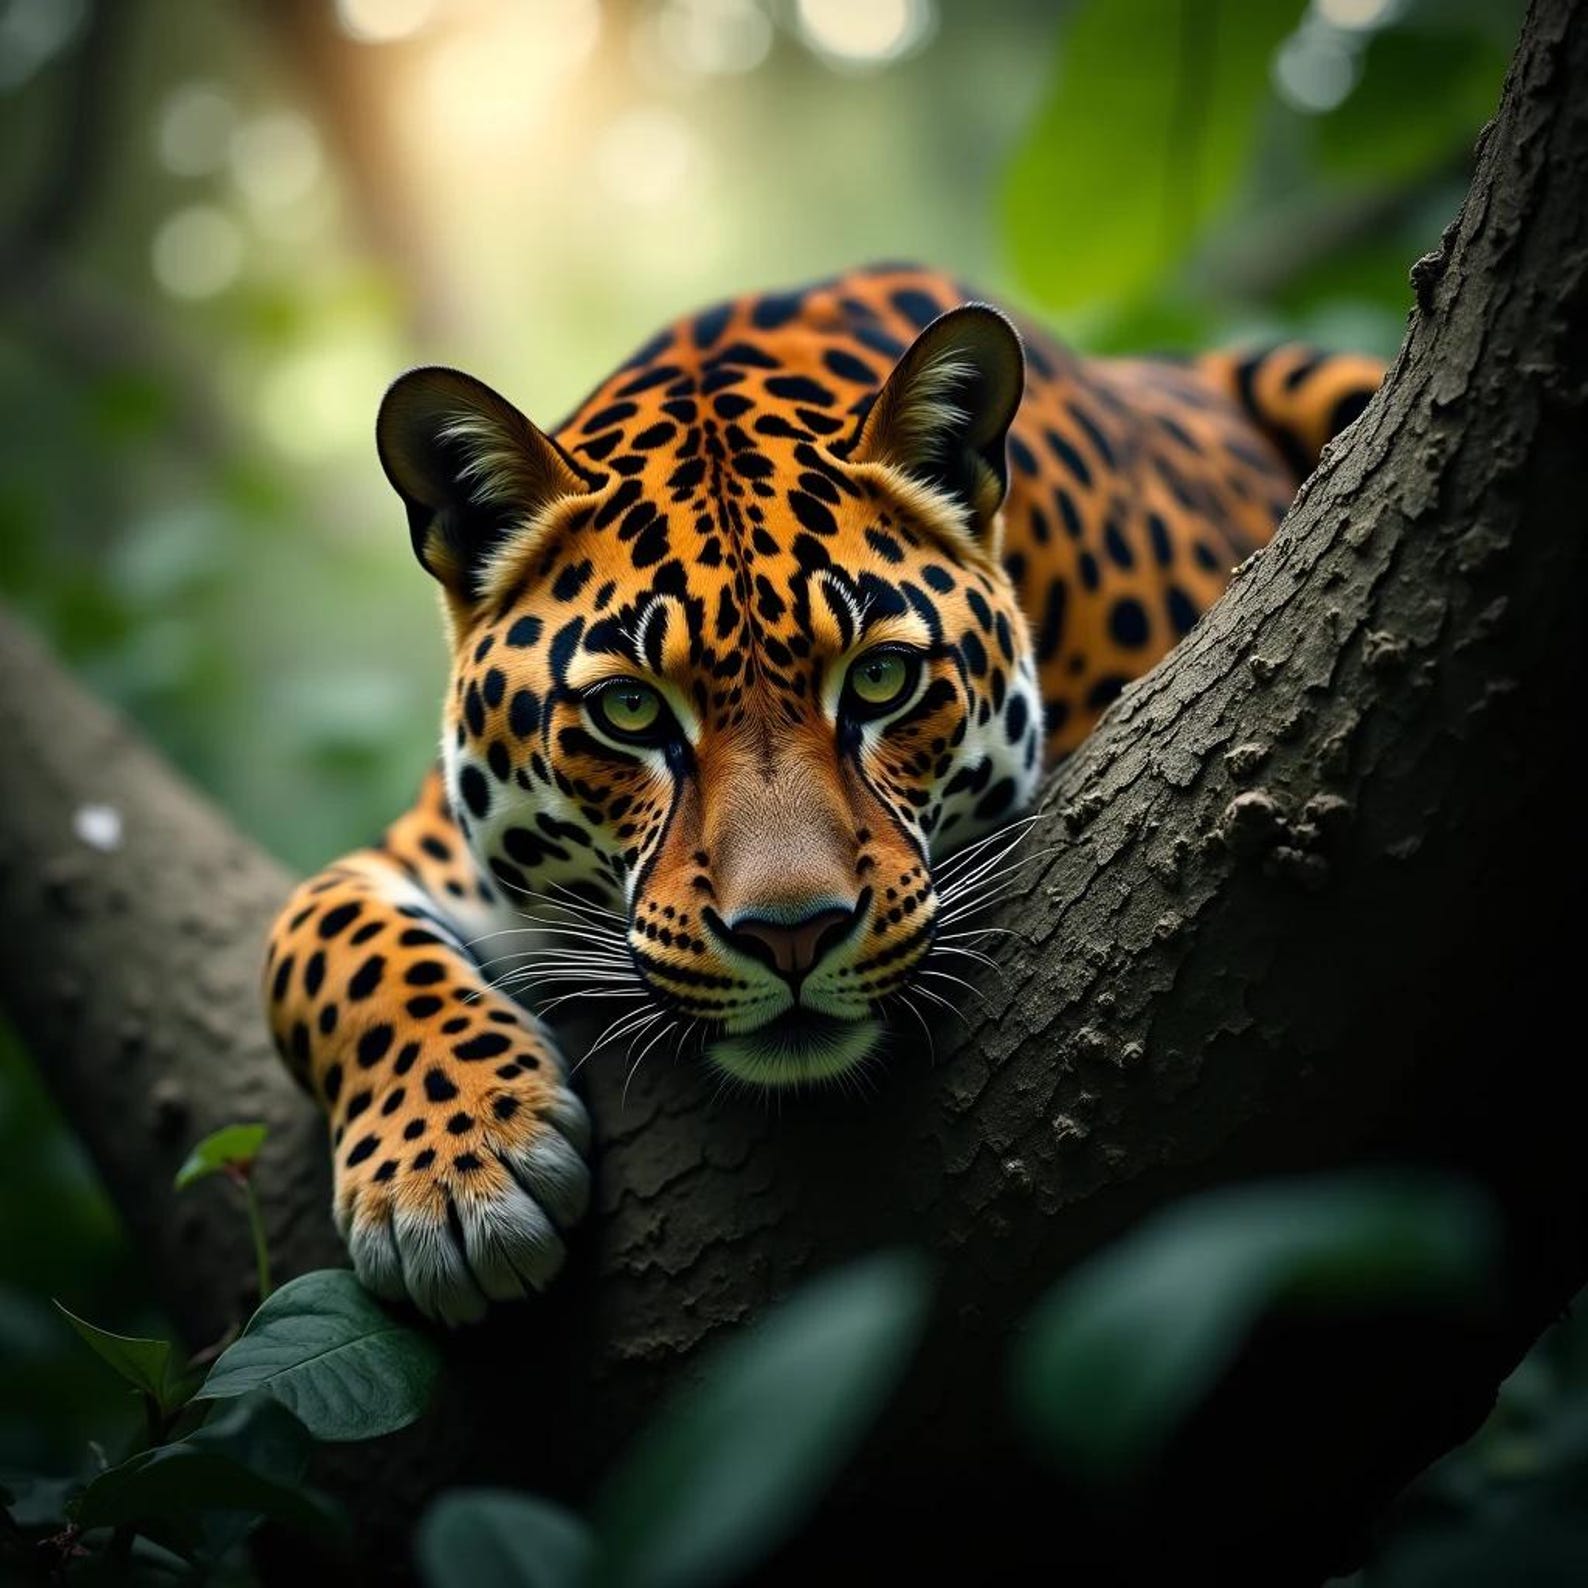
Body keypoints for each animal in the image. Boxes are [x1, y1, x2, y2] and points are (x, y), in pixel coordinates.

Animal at [262, 263, 1383, 1324]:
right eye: (630, 709)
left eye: (880, 680)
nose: (792, 935)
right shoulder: (428, 845)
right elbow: (317, 939)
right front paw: (448, 1173)